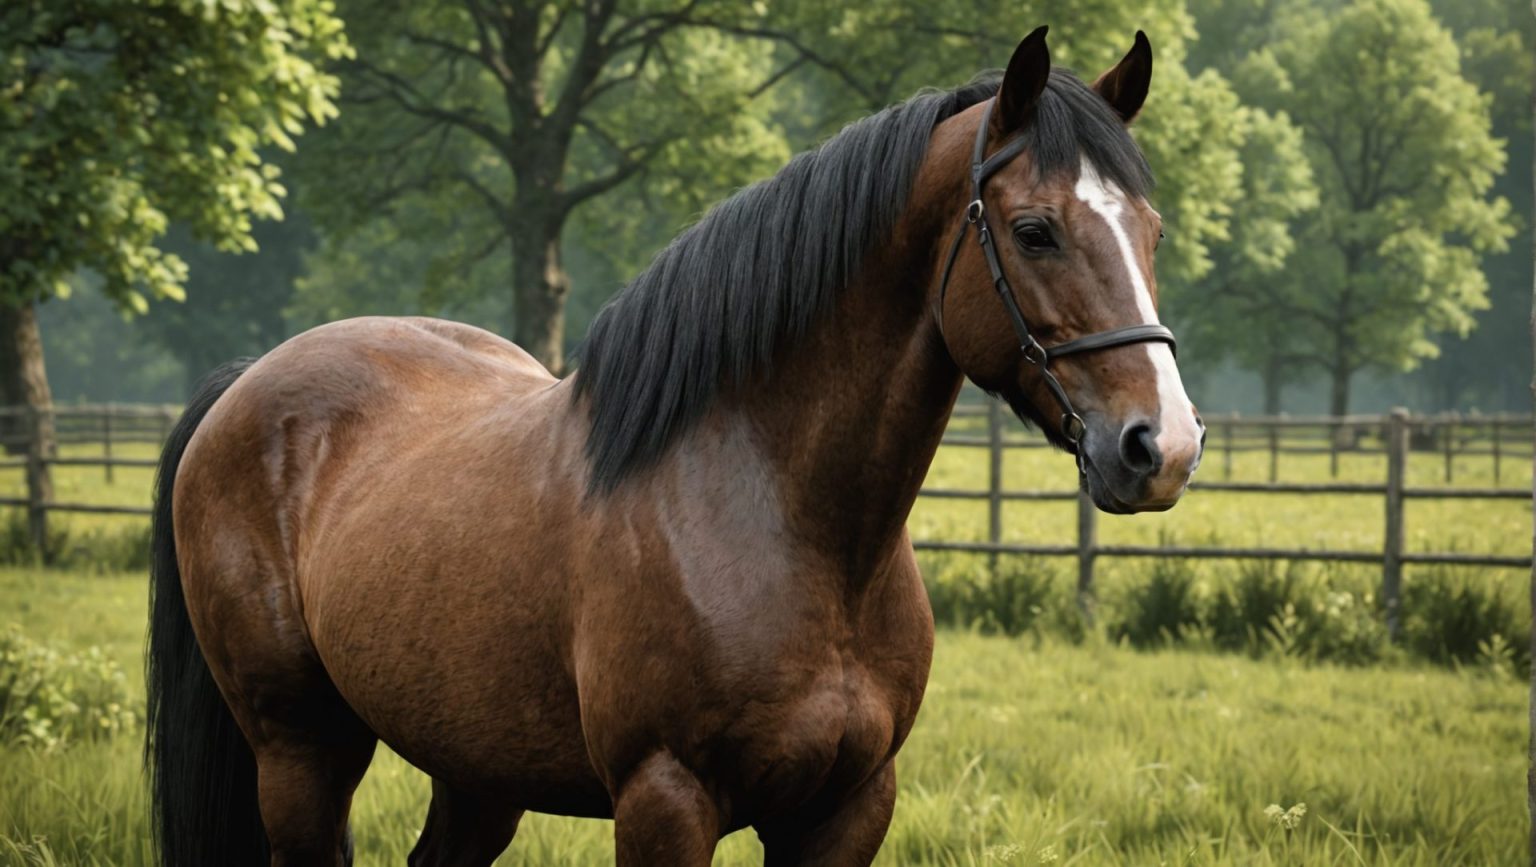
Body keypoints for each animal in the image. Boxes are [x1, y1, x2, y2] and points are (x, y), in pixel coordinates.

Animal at [146, 25, 1203, 867]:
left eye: (1152, 231)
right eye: (1034, 230)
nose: (1164, 446)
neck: (782, 518)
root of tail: (248, 382)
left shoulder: (847, 809)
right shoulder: (665, 800)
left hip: (475, 769)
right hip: (301, 748)